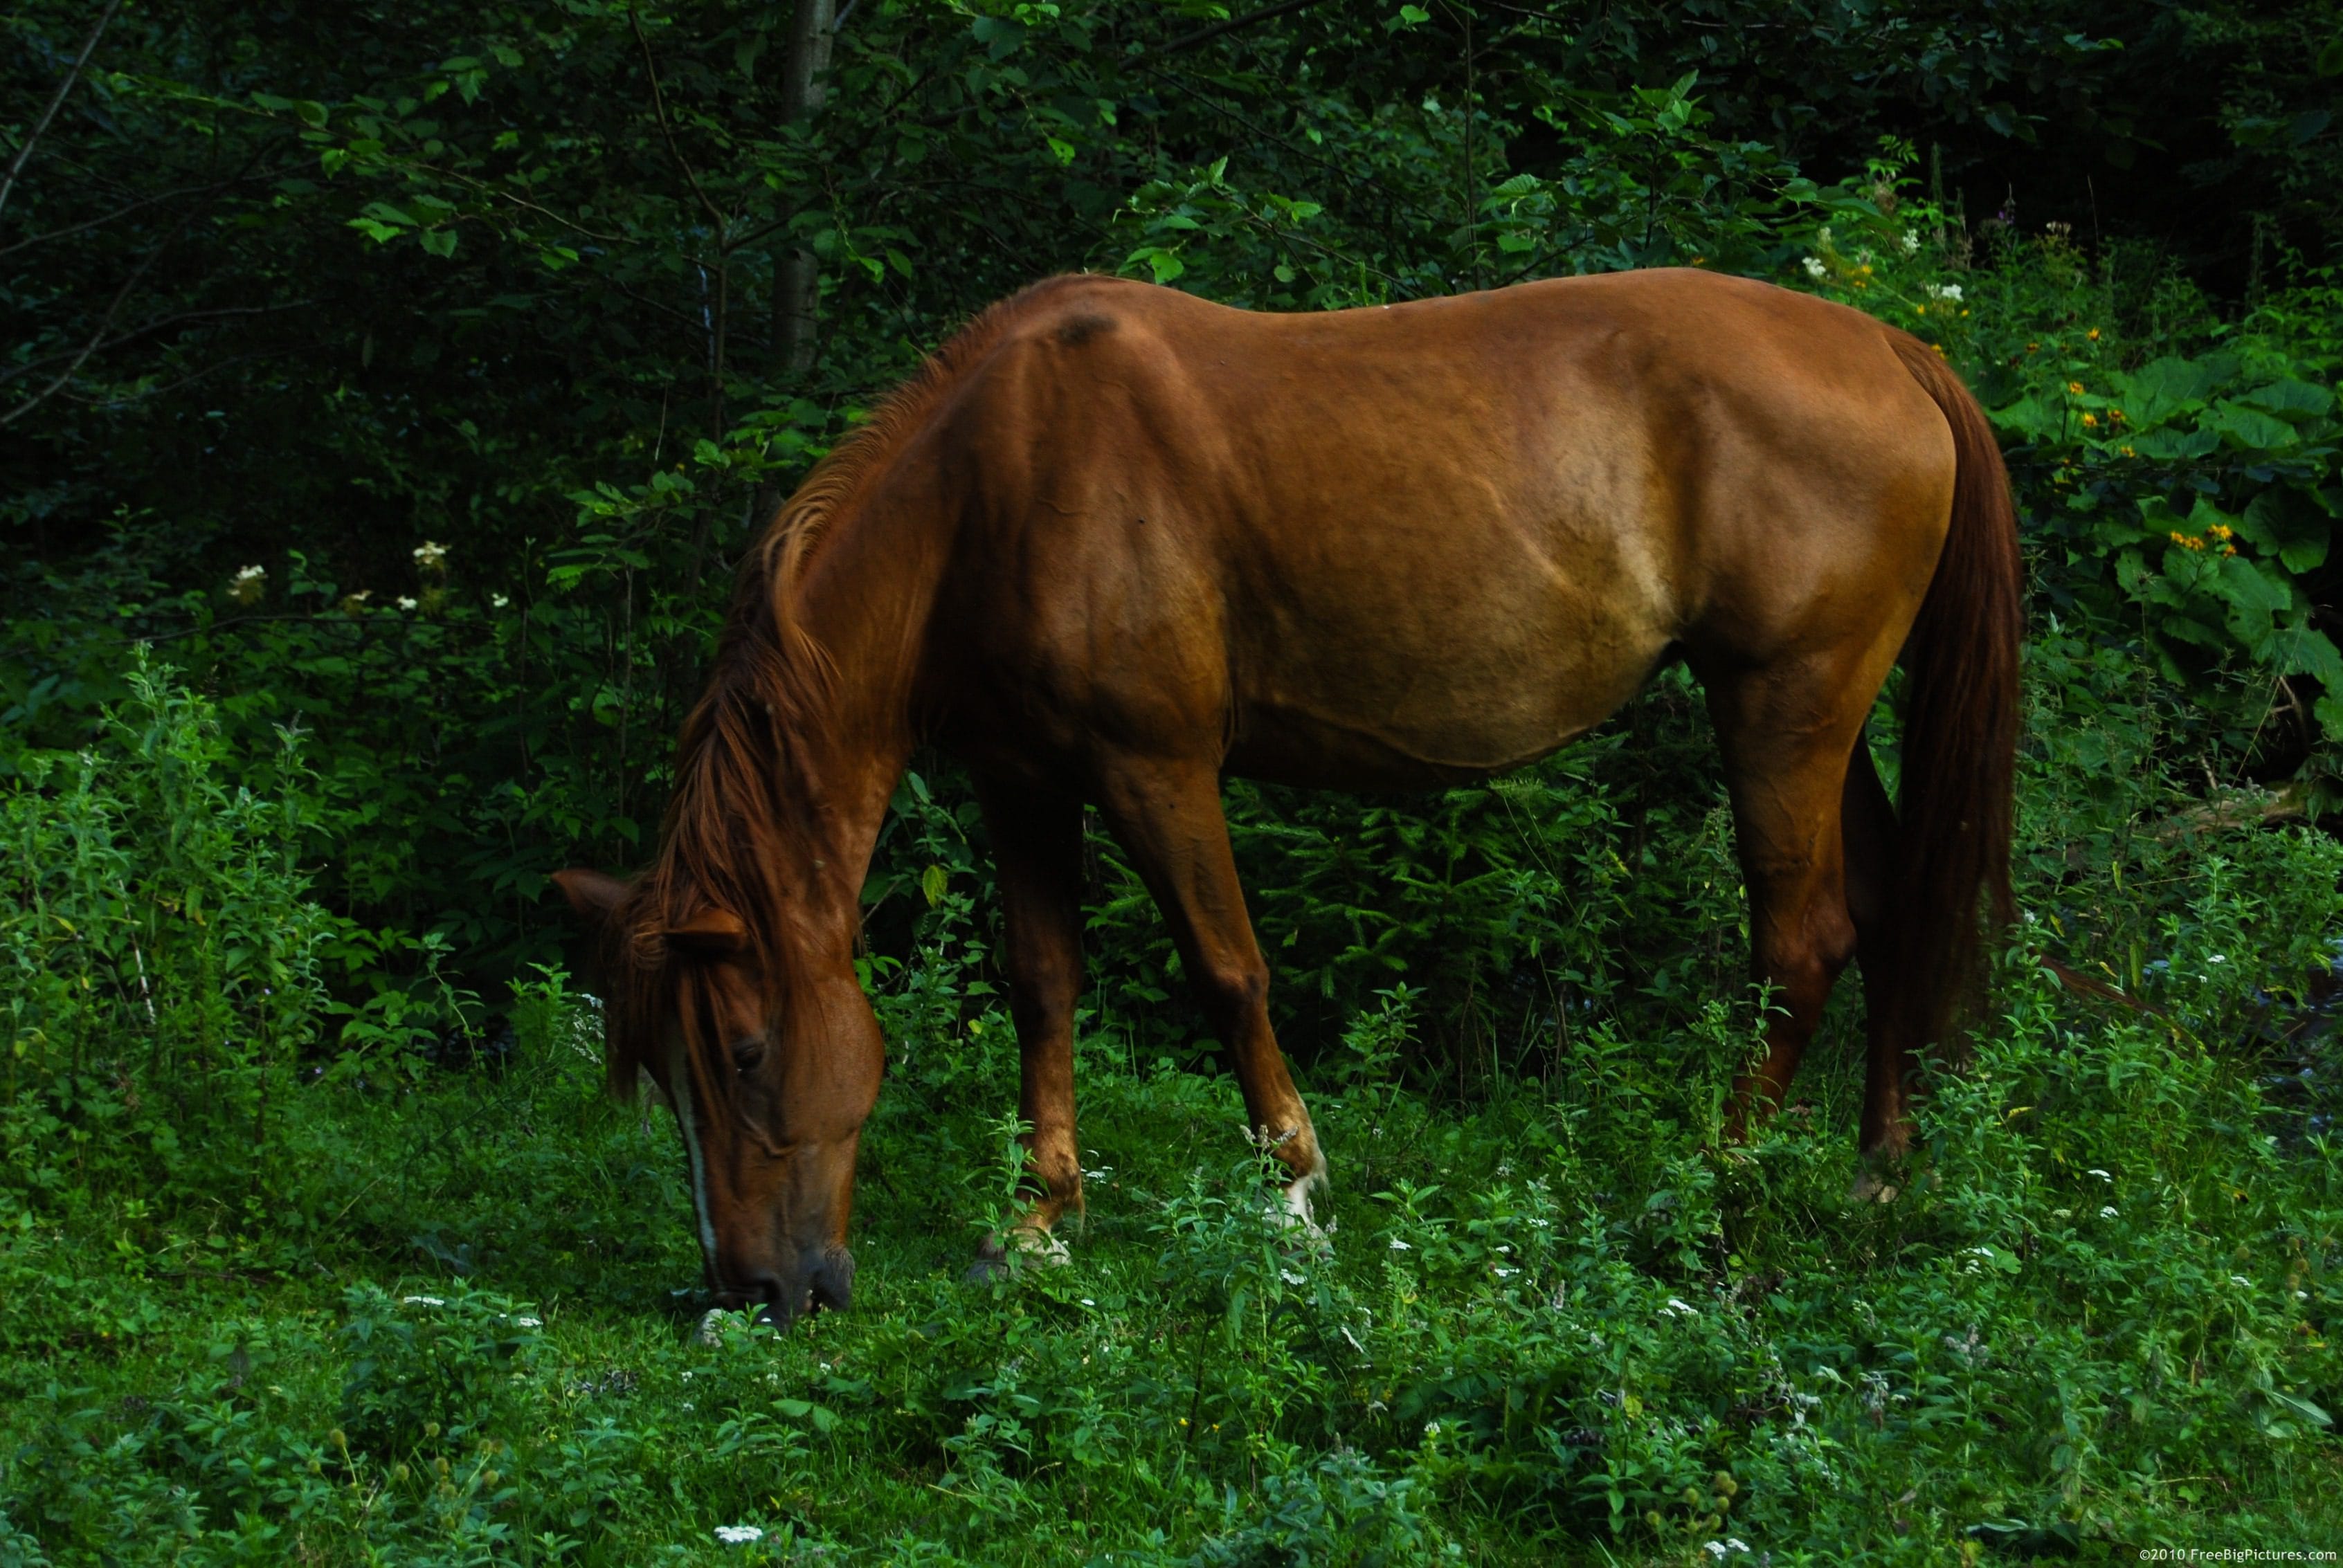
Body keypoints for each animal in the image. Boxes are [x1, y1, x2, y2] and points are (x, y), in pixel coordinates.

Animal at [555, 267, 2021, 1327]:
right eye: (669, 1070)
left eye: (745, 1051)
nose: (754, 1290)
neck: (997, 484)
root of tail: (1892, 349)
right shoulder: (1024, 780)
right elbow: (1044, 982)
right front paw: (1041, 1223)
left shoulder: (1154, 768)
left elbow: (1228, 972)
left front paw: (1295, 1192)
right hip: (1821, 716)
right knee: (1889, 913)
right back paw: (1876, 1172)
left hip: (1780, 705)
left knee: (1802, 943)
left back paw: (1713, 1185)